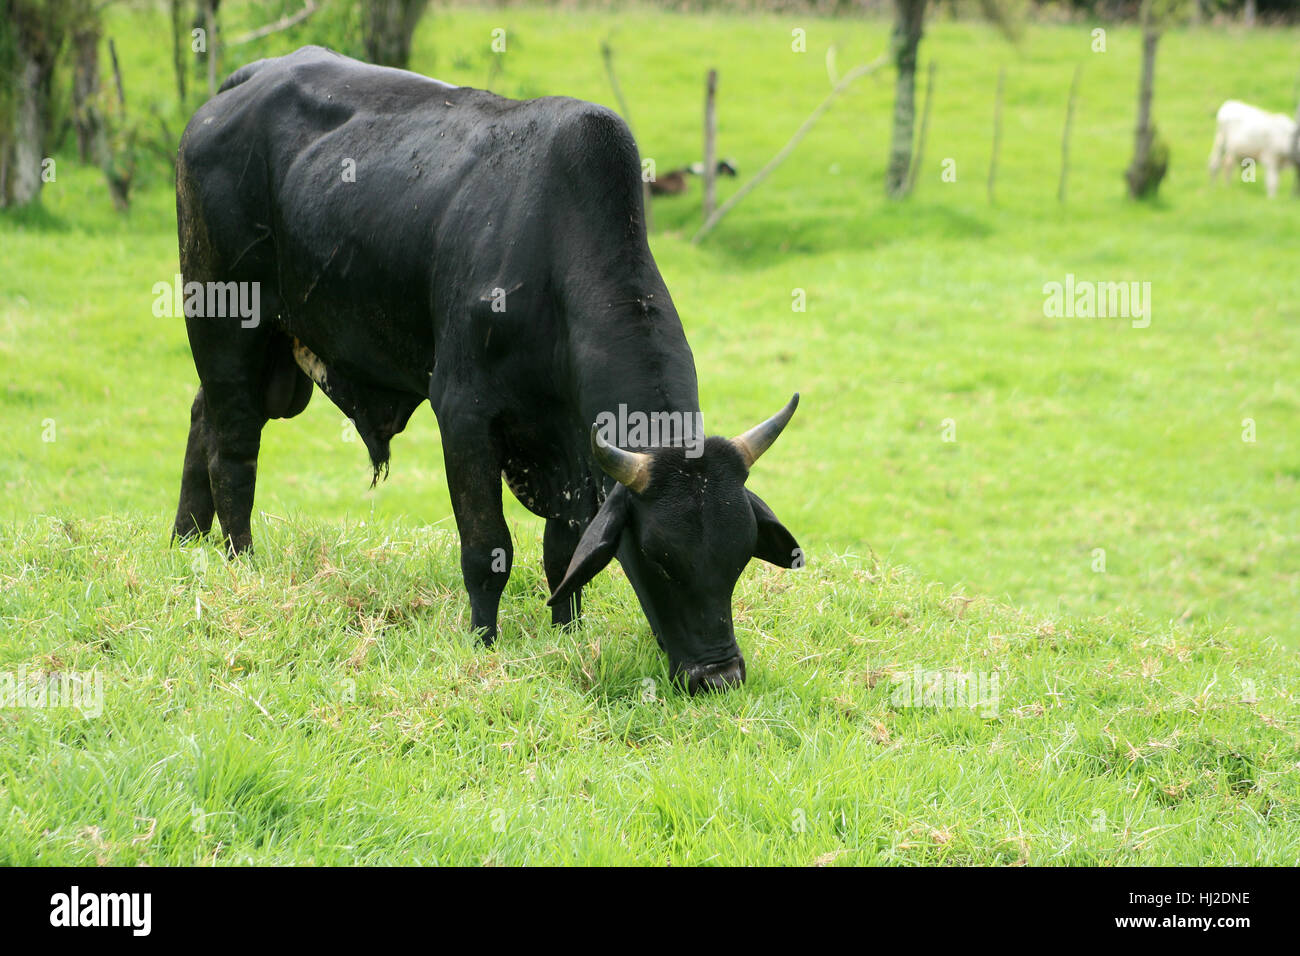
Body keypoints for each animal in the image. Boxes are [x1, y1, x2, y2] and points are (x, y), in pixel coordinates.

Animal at [170, 46, 803, 694]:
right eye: (658, 556)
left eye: (740, 556)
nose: (719, 675)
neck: (553, 250)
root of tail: (247, 79)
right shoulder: (464, 416)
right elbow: (487, 548)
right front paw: (483, 642)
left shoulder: (574, 449)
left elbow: (564, 550)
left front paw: (566, 632)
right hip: (223, 322)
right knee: (233, 448)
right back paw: (240, 563)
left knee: (202, 419)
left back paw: (184, 543)